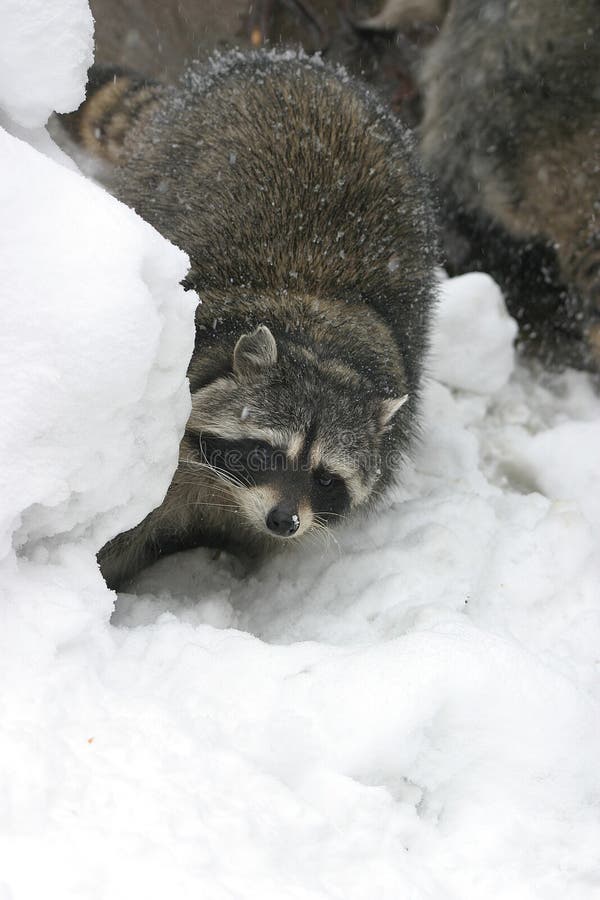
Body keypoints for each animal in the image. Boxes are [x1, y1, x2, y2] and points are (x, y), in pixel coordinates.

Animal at [62, 52, 437, 590]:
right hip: (164, 157)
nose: (284, 520)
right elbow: (125, 526)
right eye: (266, 452)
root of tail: (291, 60)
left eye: (326, 477)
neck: (316, 344)